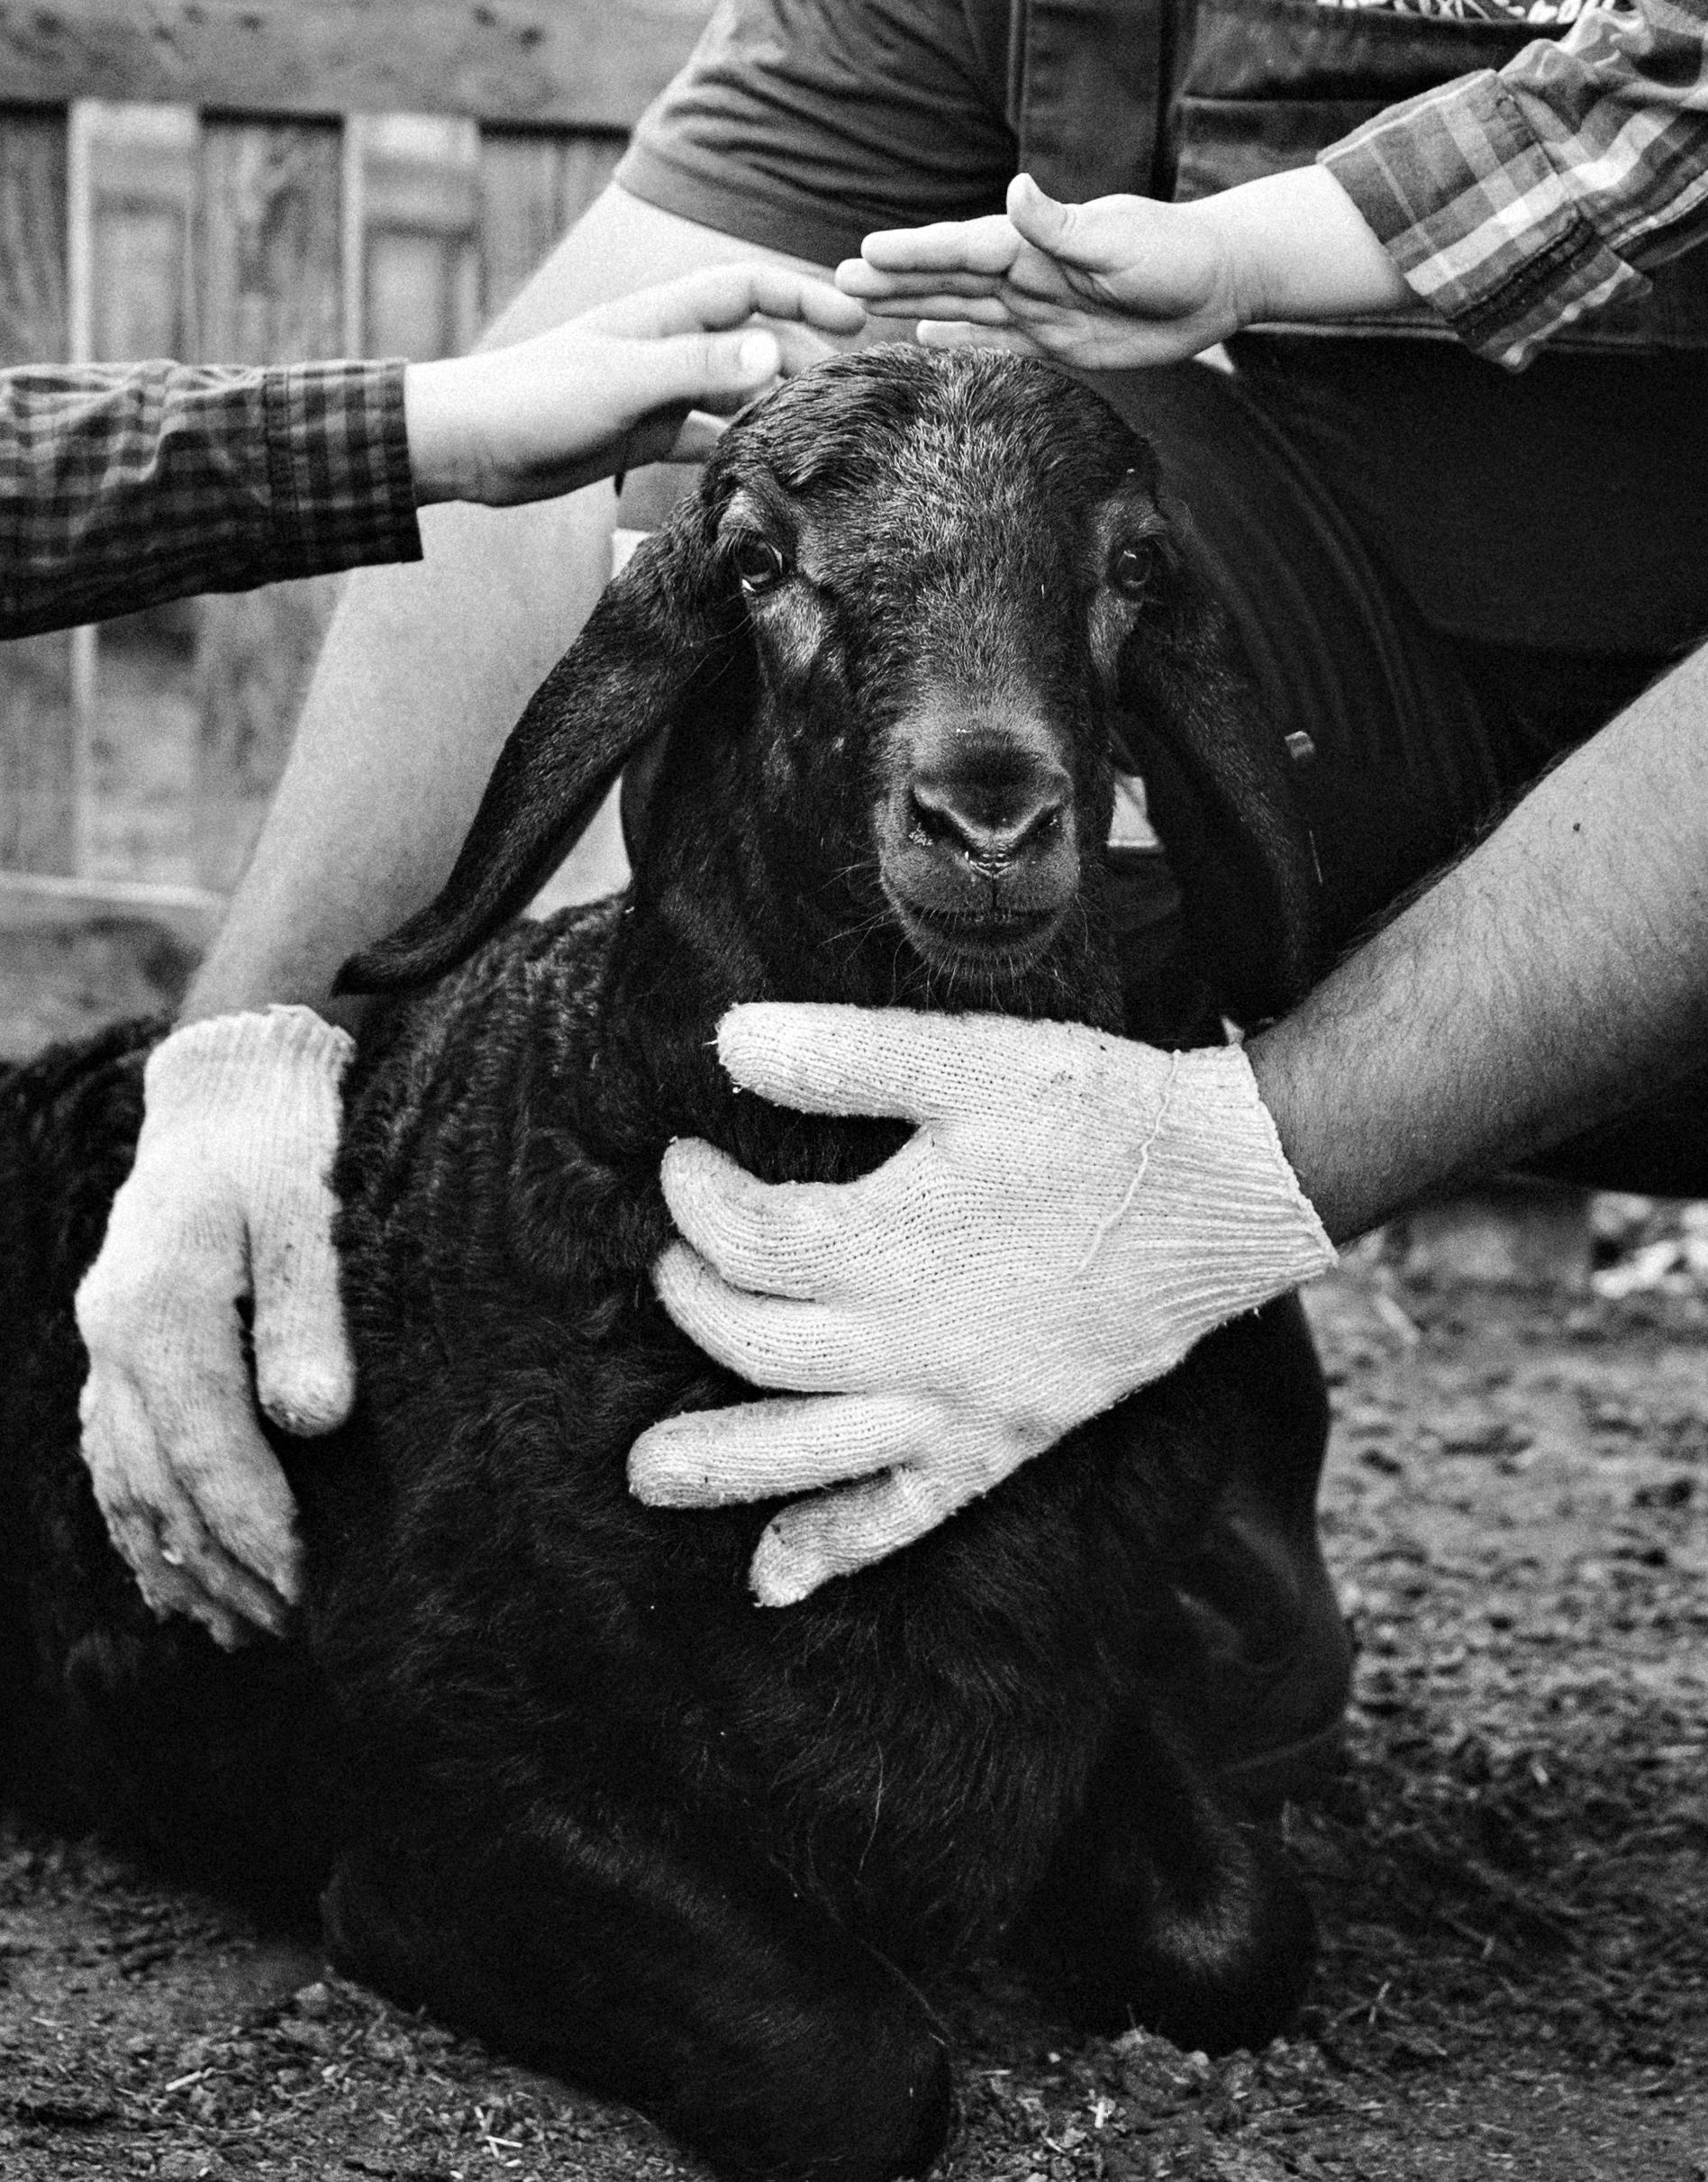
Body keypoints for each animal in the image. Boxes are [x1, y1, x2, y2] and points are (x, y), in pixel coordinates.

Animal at [0, 347, 1331, 2182]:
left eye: (1134, 569)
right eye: (758, 565)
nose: (989, 815)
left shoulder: (1095, 1684)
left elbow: (1239, 1934)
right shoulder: (472, 1796)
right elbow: (853, 2064)